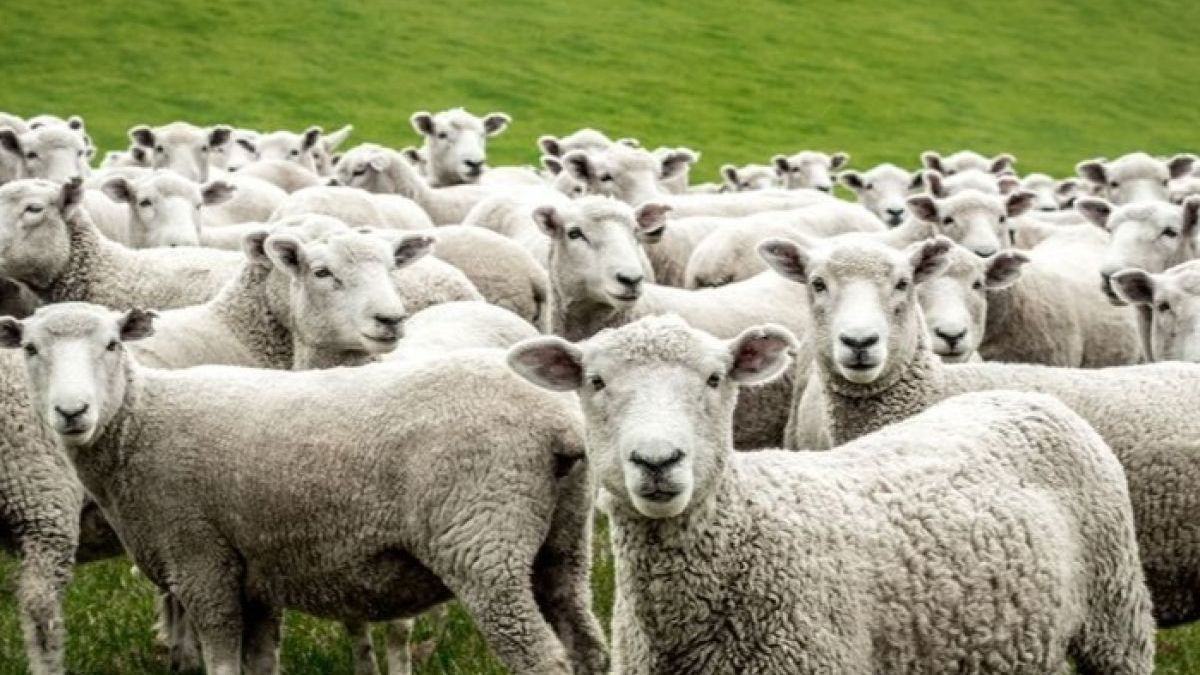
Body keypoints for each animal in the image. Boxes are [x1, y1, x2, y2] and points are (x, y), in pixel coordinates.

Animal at [2, 302, 610, 675]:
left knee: (541, 658)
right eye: (29, 349)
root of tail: (556, 424)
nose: (71, 412)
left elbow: (221, 662)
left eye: (111, 345)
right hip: (562, 545)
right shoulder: (255, 572)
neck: (140, 421)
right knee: (587, 645)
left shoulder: (202, 561)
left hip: (483, 542)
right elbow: (260, 662)